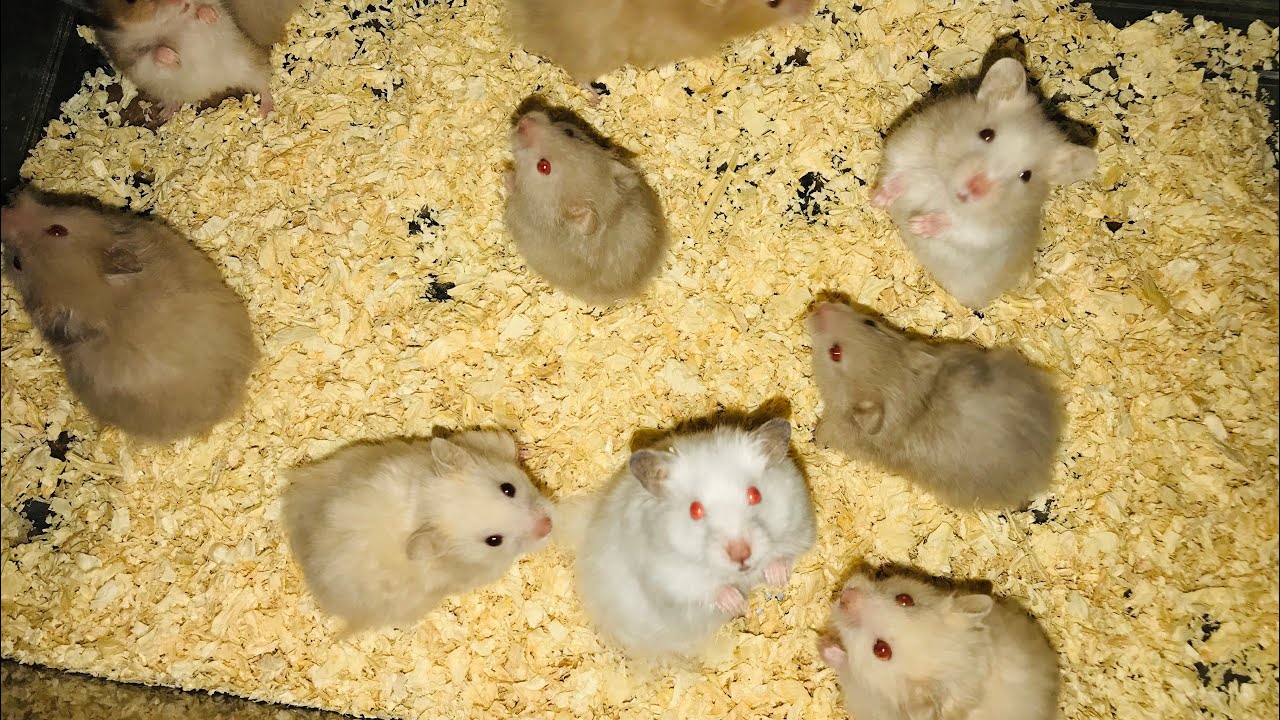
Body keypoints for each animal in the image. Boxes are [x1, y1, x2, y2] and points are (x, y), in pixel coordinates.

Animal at [93, 0, 275, 120]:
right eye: (131, 1)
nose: (181, 1)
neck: (170, 22)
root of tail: (212, 88)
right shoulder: (131, 58)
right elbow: (153, 54)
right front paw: (174, 58)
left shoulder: (220, 15)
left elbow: (210, 14)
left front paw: (207, 15)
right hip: (165, 90)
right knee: (173, 100)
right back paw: (165, 114)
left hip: (247, 62)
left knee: (263, 84)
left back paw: (266, 112)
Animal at [568, 418, 816, 656]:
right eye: (695, 510)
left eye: (755, 495)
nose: (741, 555)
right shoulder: (667, 576)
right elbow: (703, 588)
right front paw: (737, 604)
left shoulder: (800, 524)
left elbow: (787, 553)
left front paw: (776, 578)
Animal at [806, 302, 1061, 509]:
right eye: (870, 321)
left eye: (835, 353)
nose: (820, 305)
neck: (906, 396)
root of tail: (1045, 459)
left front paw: (814, 438)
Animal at [818, 567, 1059, 720]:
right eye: (904, 599)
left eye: (881, 650)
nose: (846, 595)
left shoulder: (866, 697)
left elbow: (845, 666)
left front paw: (823, 645)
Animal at [871, 58, 1097, 308]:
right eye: (986, 134)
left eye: (1026, 175)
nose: (973, 189)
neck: (944, 192)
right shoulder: (908, 145)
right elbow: (898, 174)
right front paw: (877, 200)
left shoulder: (991, 235)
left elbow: (961, 228)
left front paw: (918, 226)